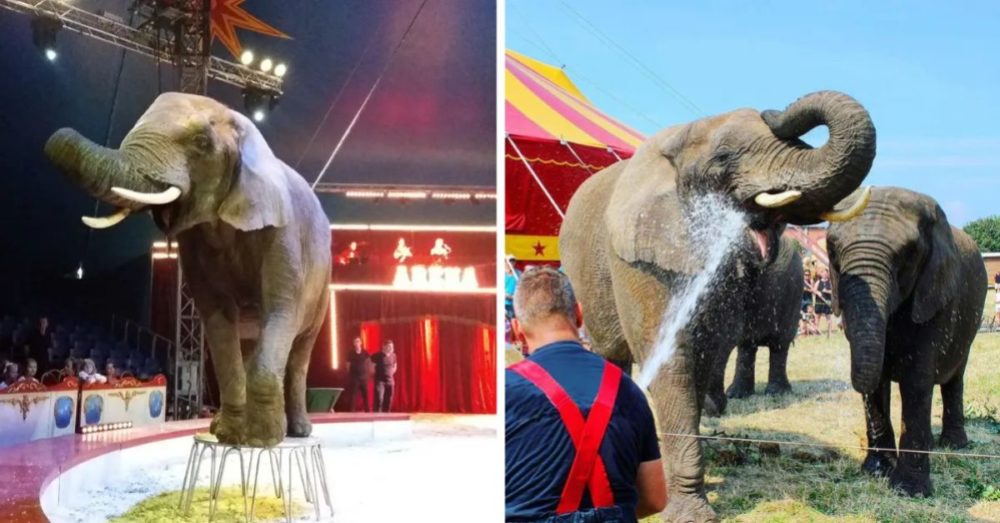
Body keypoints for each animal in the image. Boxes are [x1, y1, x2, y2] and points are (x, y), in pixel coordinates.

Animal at [44, 92, 332, 447]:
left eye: (201, 143)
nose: (59, 133)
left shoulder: (282, 231)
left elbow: (281, 308)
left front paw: (261, 441)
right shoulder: (194, 244)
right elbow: (218, 320)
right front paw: (229, 435)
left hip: (323, 285)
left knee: (300, 350)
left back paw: (300, 431)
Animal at [704, 235, 802, 417]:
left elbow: (726, 336)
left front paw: (710, 408)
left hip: (793, 294)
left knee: (780, 343)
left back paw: (776, 392)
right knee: (747, 346)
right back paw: (737, 394)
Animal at [827, 187, 986, 497]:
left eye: (908, 254)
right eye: (832, 249)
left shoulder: (934, 295)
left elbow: (915, 381)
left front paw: (910, 491)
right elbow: (877, 382)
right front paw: (877, 471)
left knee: (953, 378)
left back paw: (954, 445)